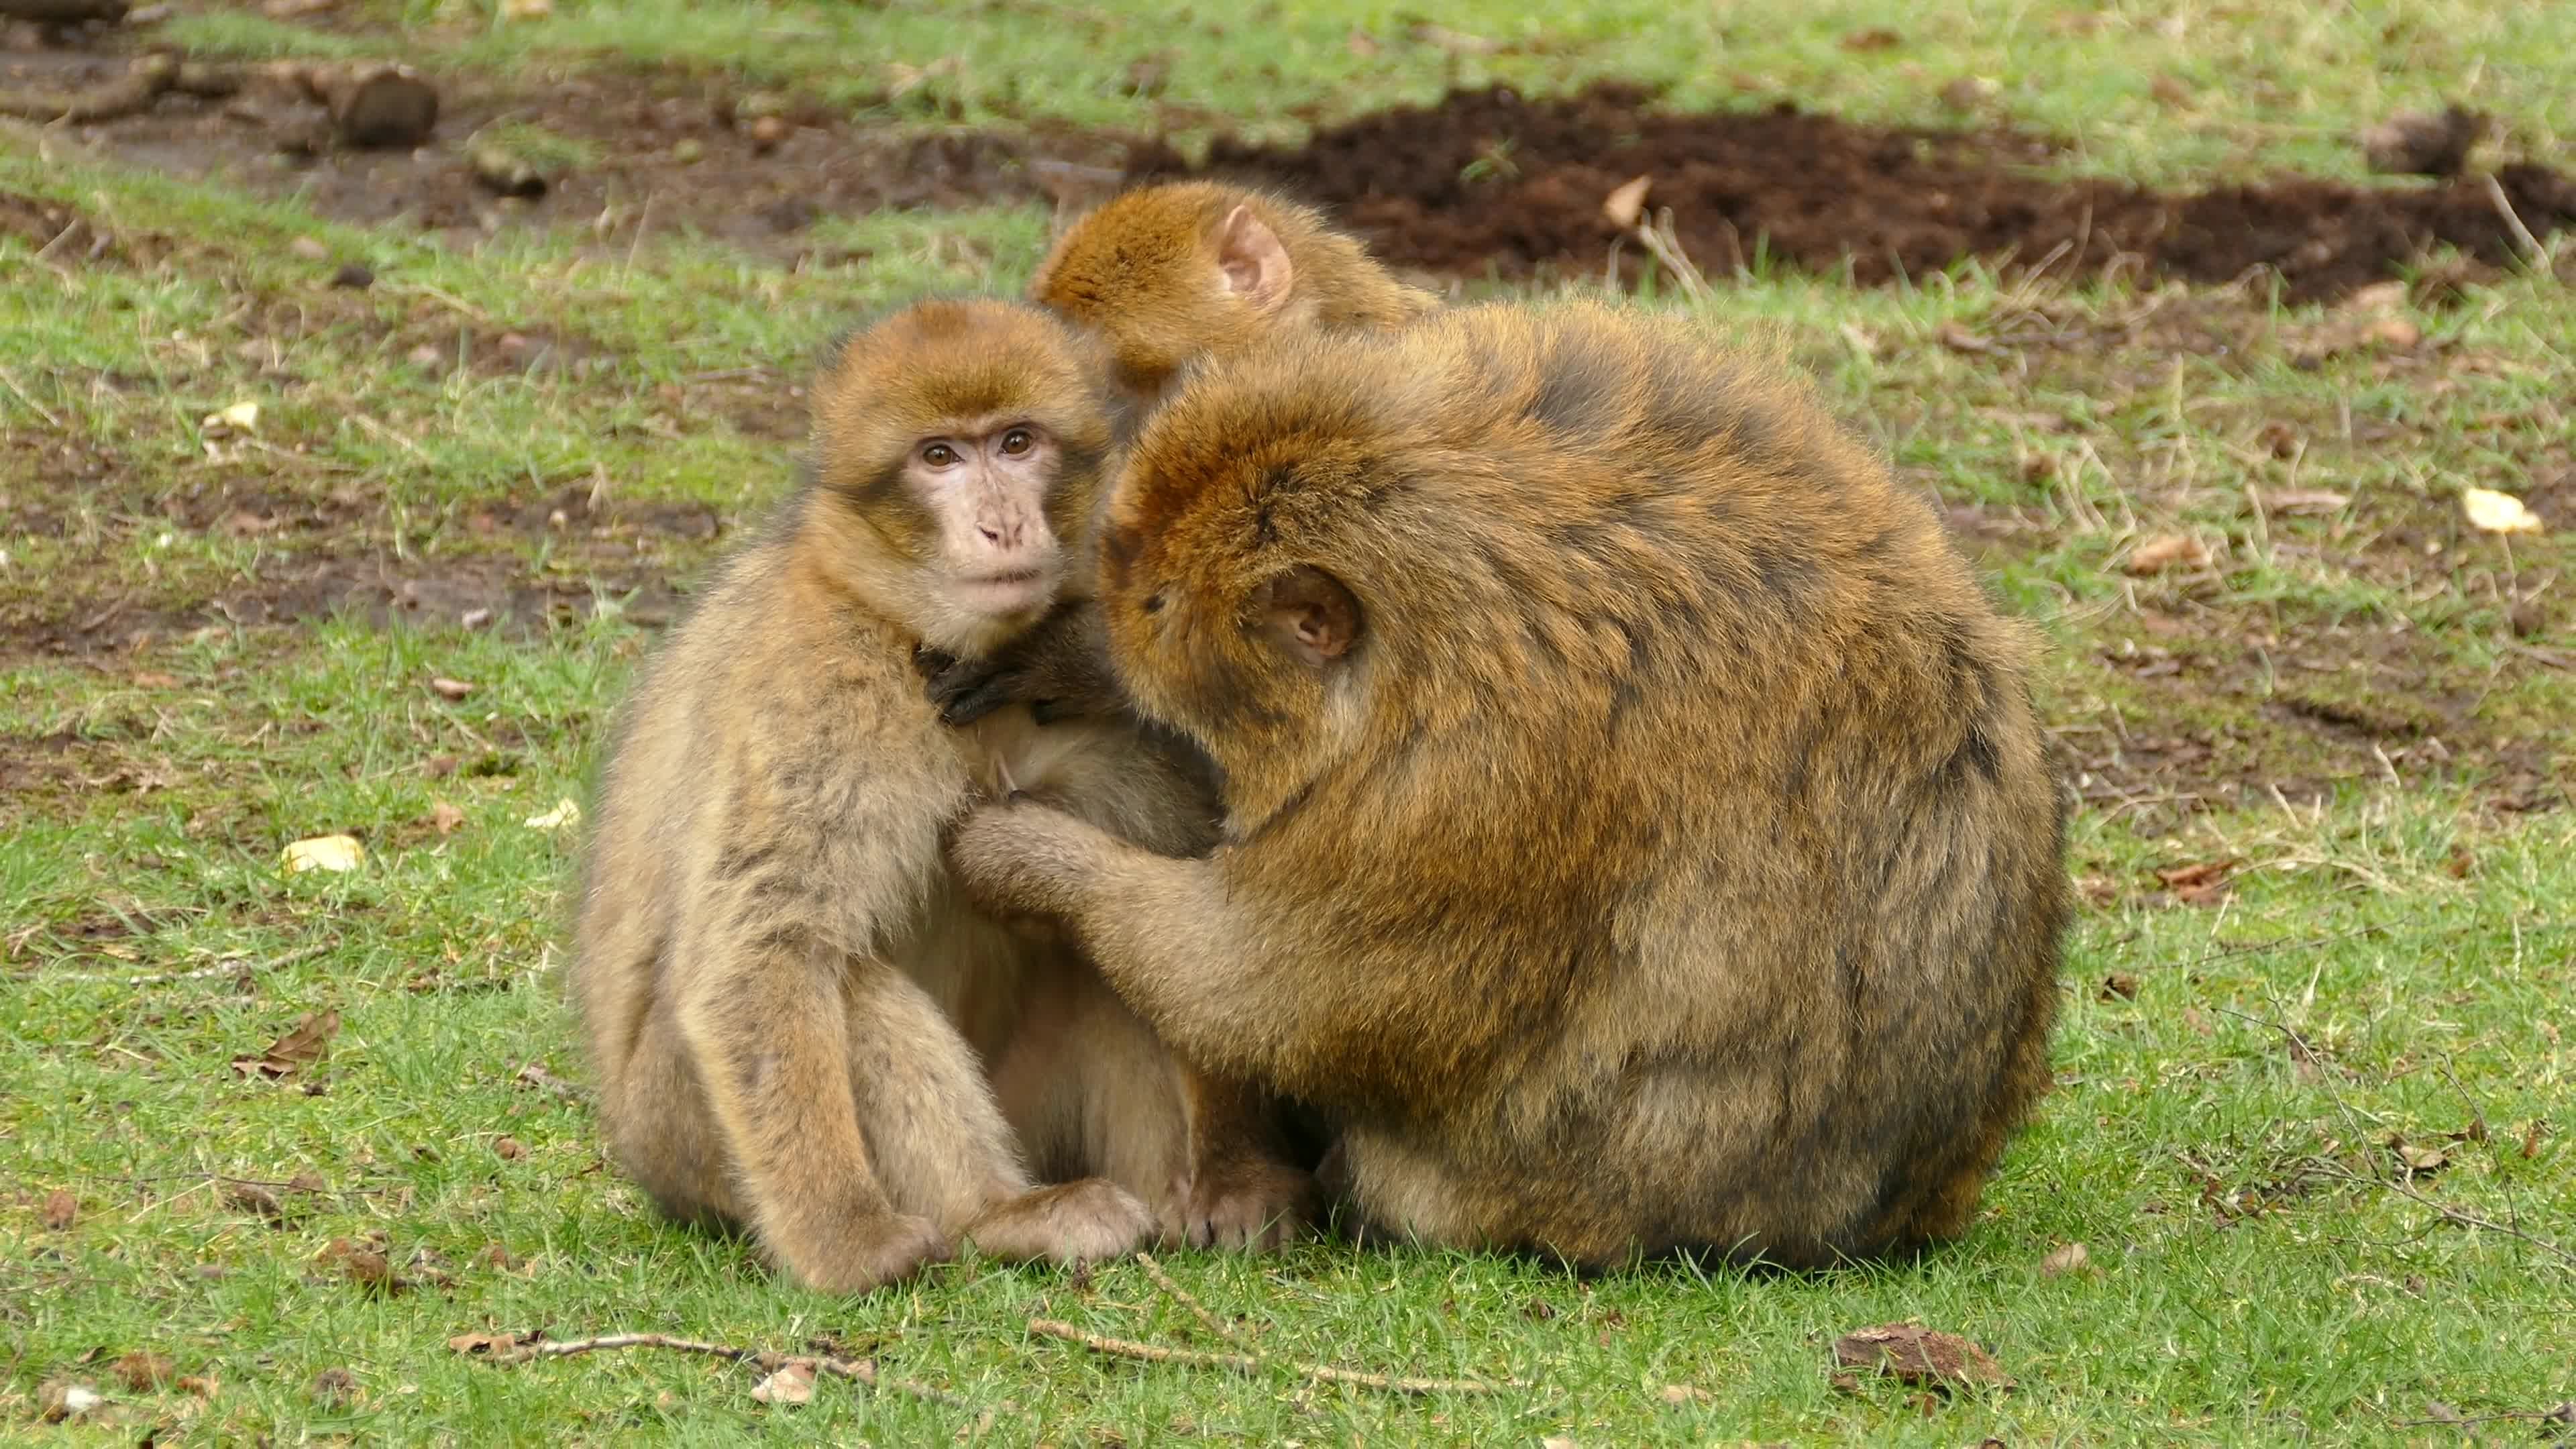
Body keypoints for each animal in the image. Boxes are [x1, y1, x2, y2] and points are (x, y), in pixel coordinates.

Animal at [568, 297, 1315, 1297]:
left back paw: (1187, 1189)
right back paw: (997, 1217)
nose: (1000, 523)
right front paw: (843, 1240)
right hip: (684, 1132)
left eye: (1016, 442)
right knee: (842, 979)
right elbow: (760, 953)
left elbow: (1194, 913)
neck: (926, 643)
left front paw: (1239, 1168)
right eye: (938, 458)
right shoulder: (822, 692)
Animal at [943, 299, 2070, 1270]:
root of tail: (1905, 1210)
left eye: (1159, 604)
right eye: (1129, 573)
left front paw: (1027, 856)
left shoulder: (1457, 791)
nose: (1118, 614)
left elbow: (1269, 986)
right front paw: (1075, 660)